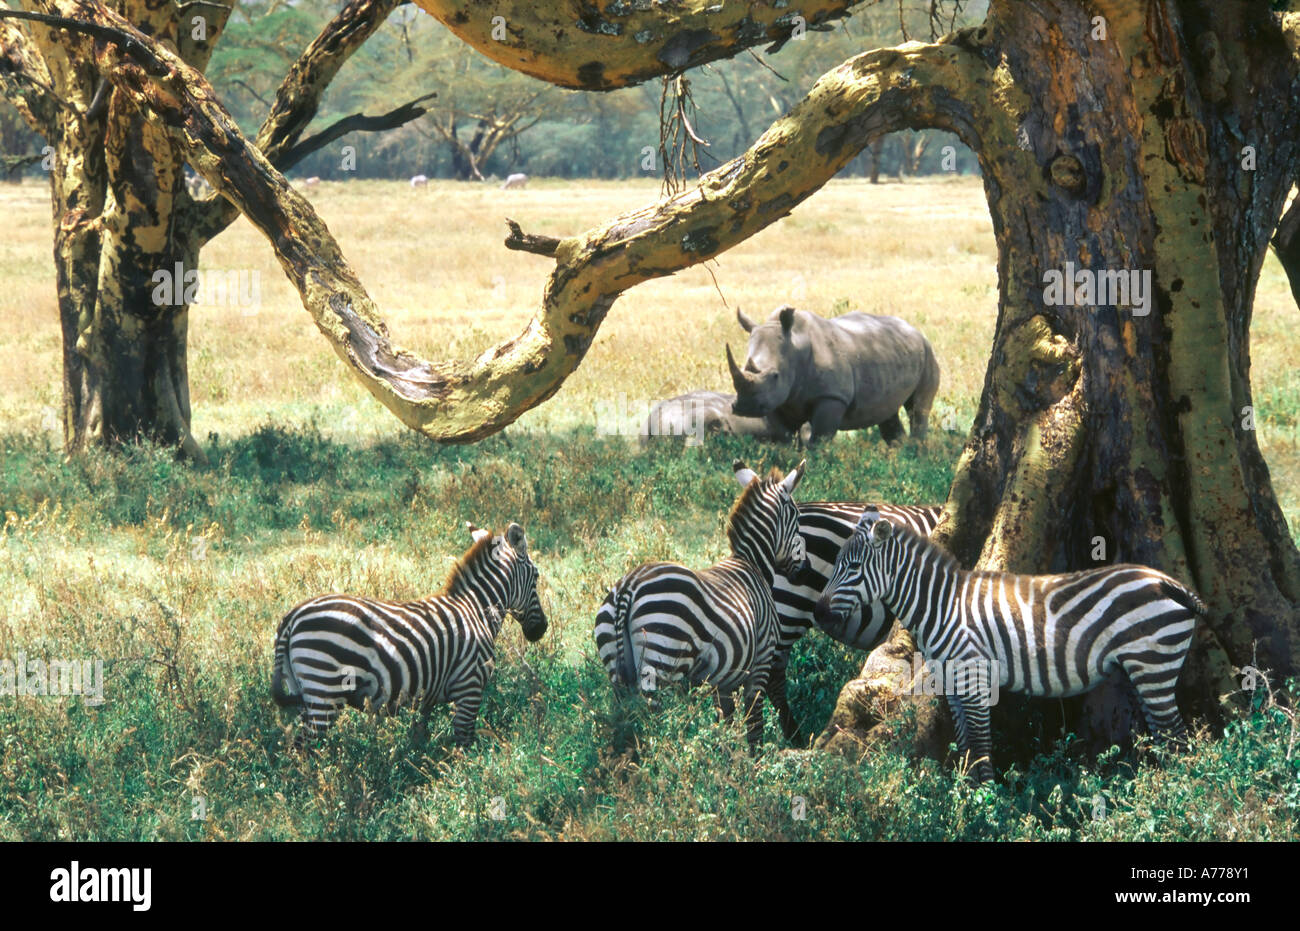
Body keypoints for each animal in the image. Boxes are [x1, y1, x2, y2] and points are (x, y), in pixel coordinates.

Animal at [271, 522, 546, 749]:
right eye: (536, 576)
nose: (541, 630)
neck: (475, 610)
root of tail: (293, 615)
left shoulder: (428, 698)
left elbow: (420, 740)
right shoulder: (470, 687)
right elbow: (464, 744)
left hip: (303, 691)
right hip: (324, 690)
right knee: (305, 750)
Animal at [593, 459, 808, 748]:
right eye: (797, 518)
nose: (803, 571)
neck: (752, 563)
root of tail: (630, 585)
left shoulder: (723, 681)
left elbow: (726, 722)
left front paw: (727, 755)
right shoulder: (761, 661)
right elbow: (755, 724)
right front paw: (755, 758)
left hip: (615, 669)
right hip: (661, 663)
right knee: (652, 727)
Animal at [815, 510, 1204, 782]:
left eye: (853, 567)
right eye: (837, 564)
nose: (819, 614)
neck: (942, 606)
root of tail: (1167, 582)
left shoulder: (974, 677)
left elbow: (981, 744)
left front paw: (987, 802)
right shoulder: (952, 682)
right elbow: (966, 744)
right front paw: (966, 794)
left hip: (1154, 664)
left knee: (1176, 736)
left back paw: (1177, 790)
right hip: (1147, 668)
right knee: (1165, 734)